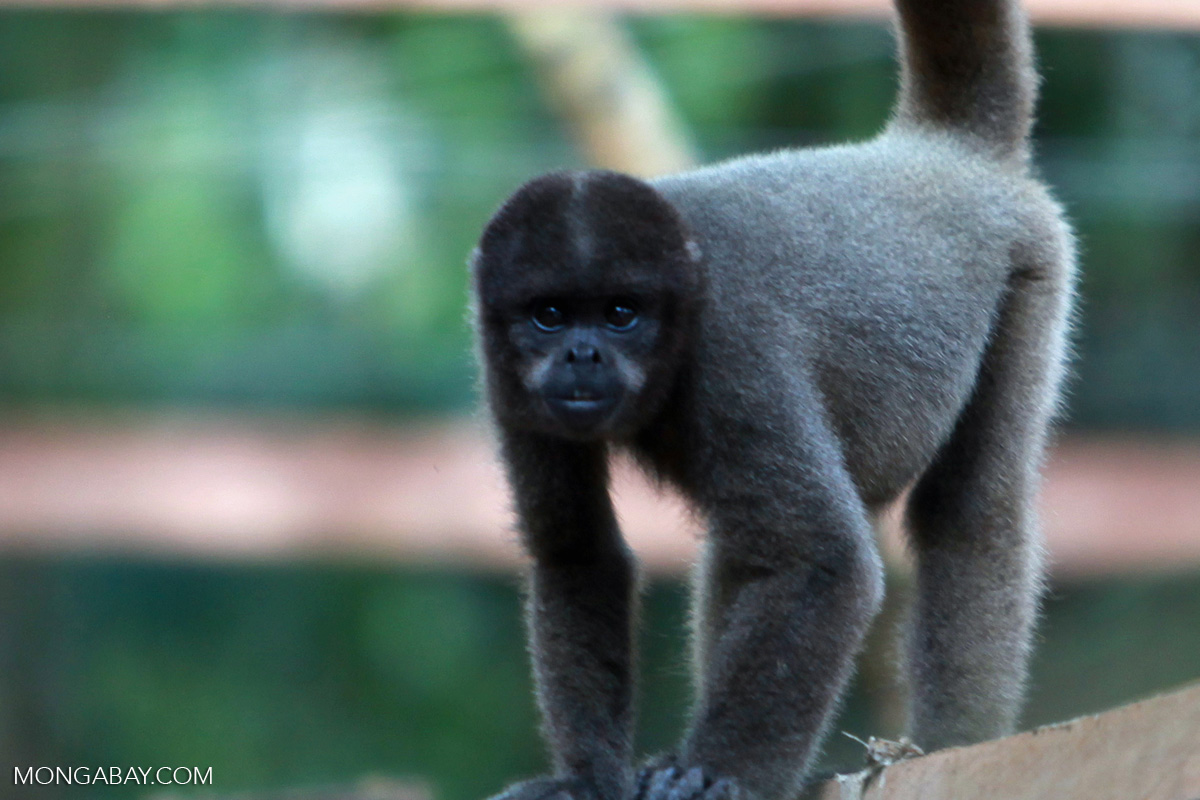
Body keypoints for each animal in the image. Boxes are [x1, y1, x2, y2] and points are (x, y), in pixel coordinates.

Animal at [470, 1, 1076, 799]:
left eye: (621, 313)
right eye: (549, 315)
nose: (583, 354)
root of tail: (942, 150)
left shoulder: (733, 349)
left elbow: (825, 560)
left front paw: (720, 775)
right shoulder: (503, 377)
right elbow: (576, 551)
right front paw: (585, 780)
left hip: (1033, 270)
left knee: (971, 510)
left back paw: (946, 744)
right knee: (742, 547)